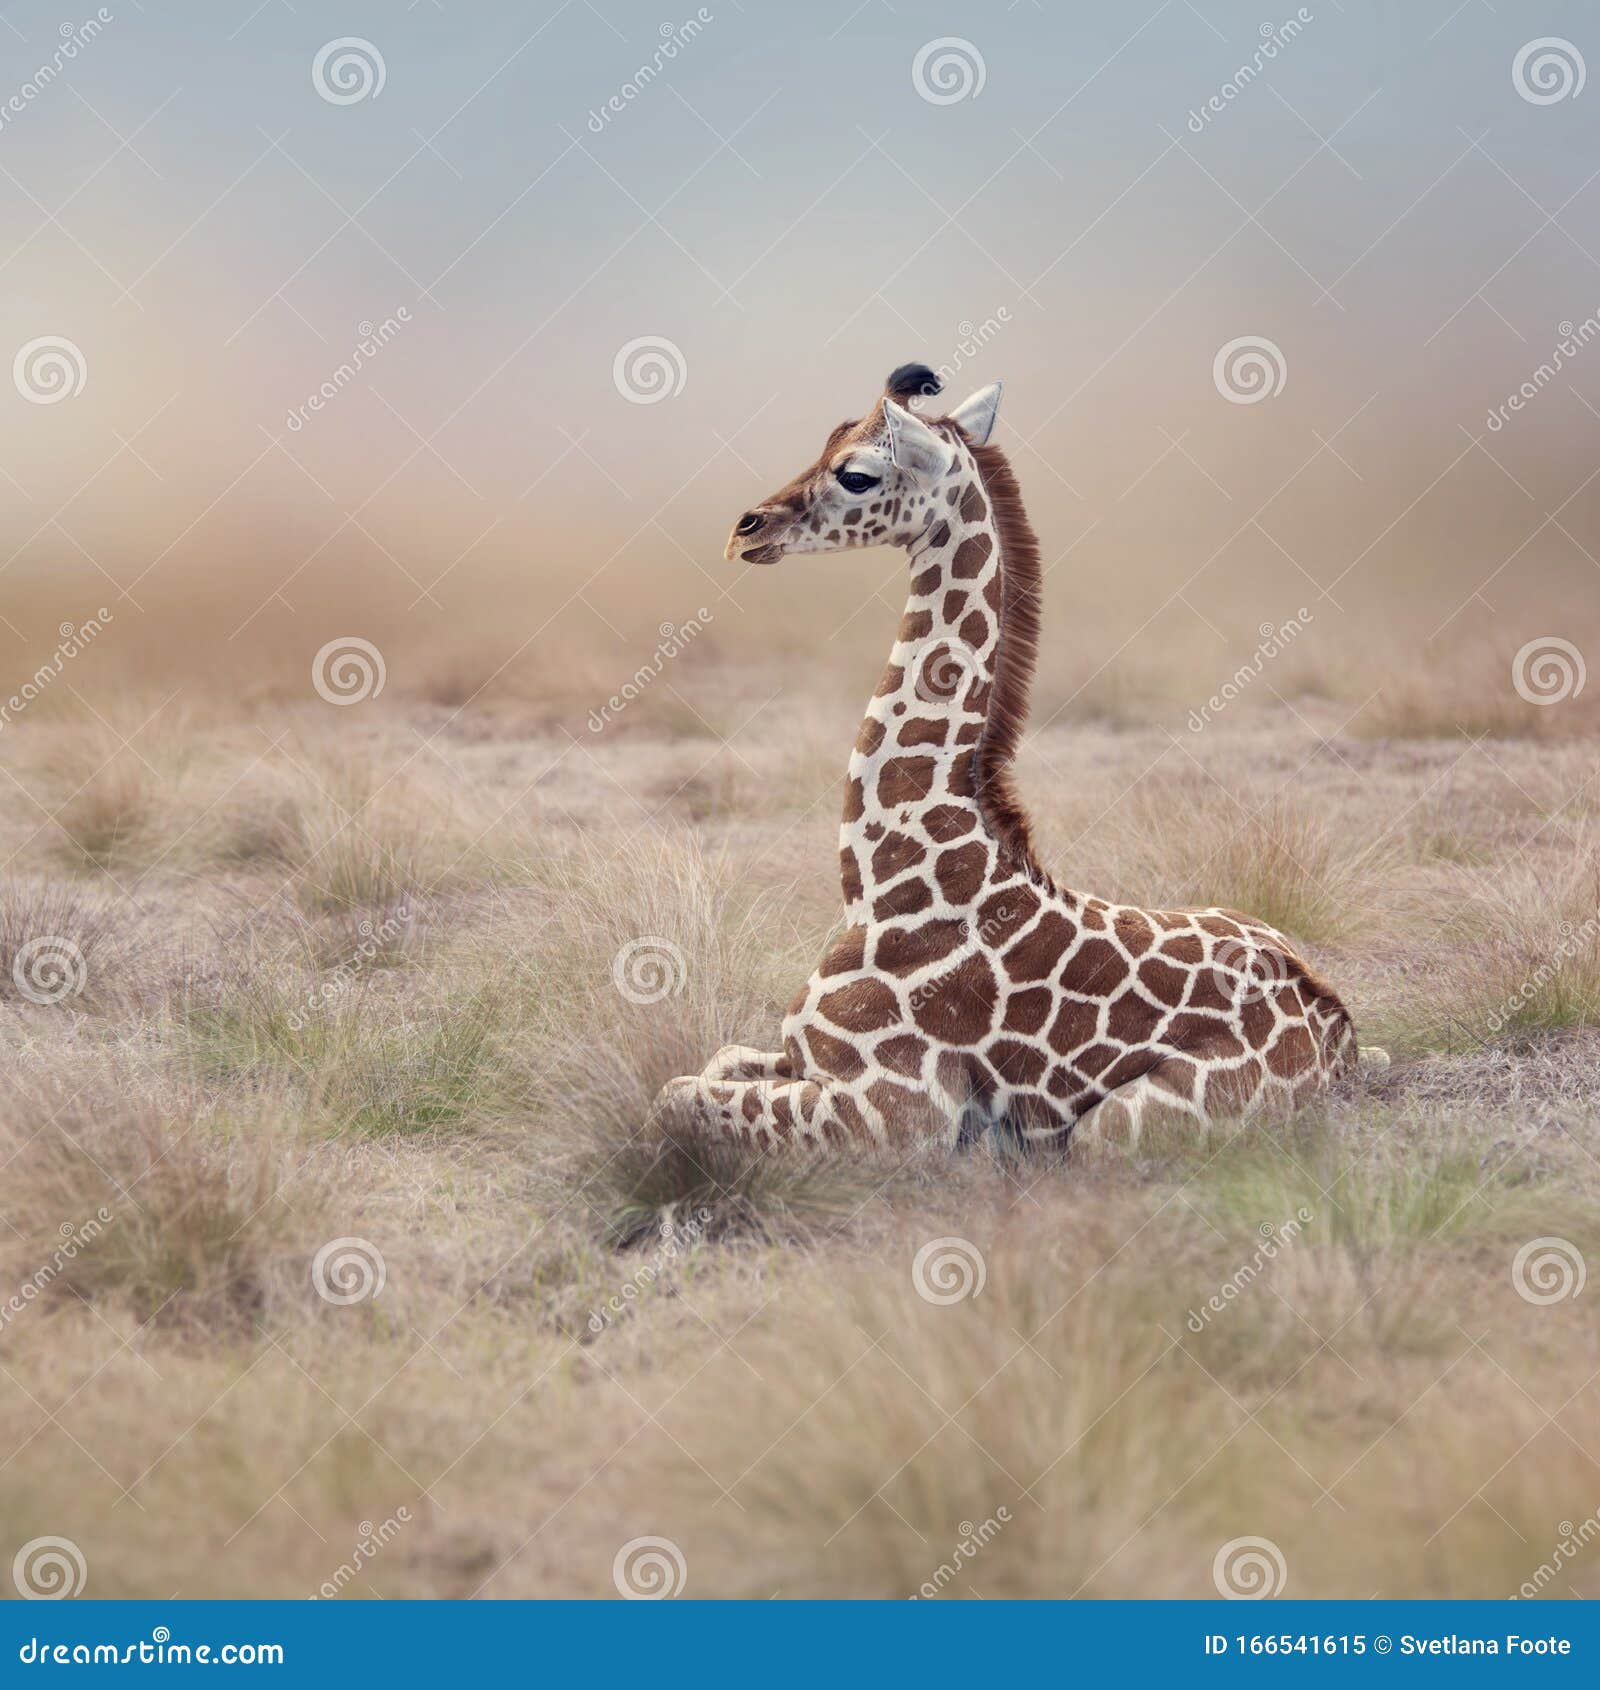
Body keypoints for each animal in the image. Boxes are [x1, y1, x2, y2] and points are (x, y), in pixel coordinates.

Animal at [652, 364, 1364, 1154]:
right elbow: (711, 1063)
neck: (881, 885)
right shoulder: (799, 1057)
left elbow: (674, 1096)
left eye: (857, 473)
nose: (744, 530)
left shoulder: (894, 1110)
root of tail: (1337, 1032)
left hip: (1113, 1129)